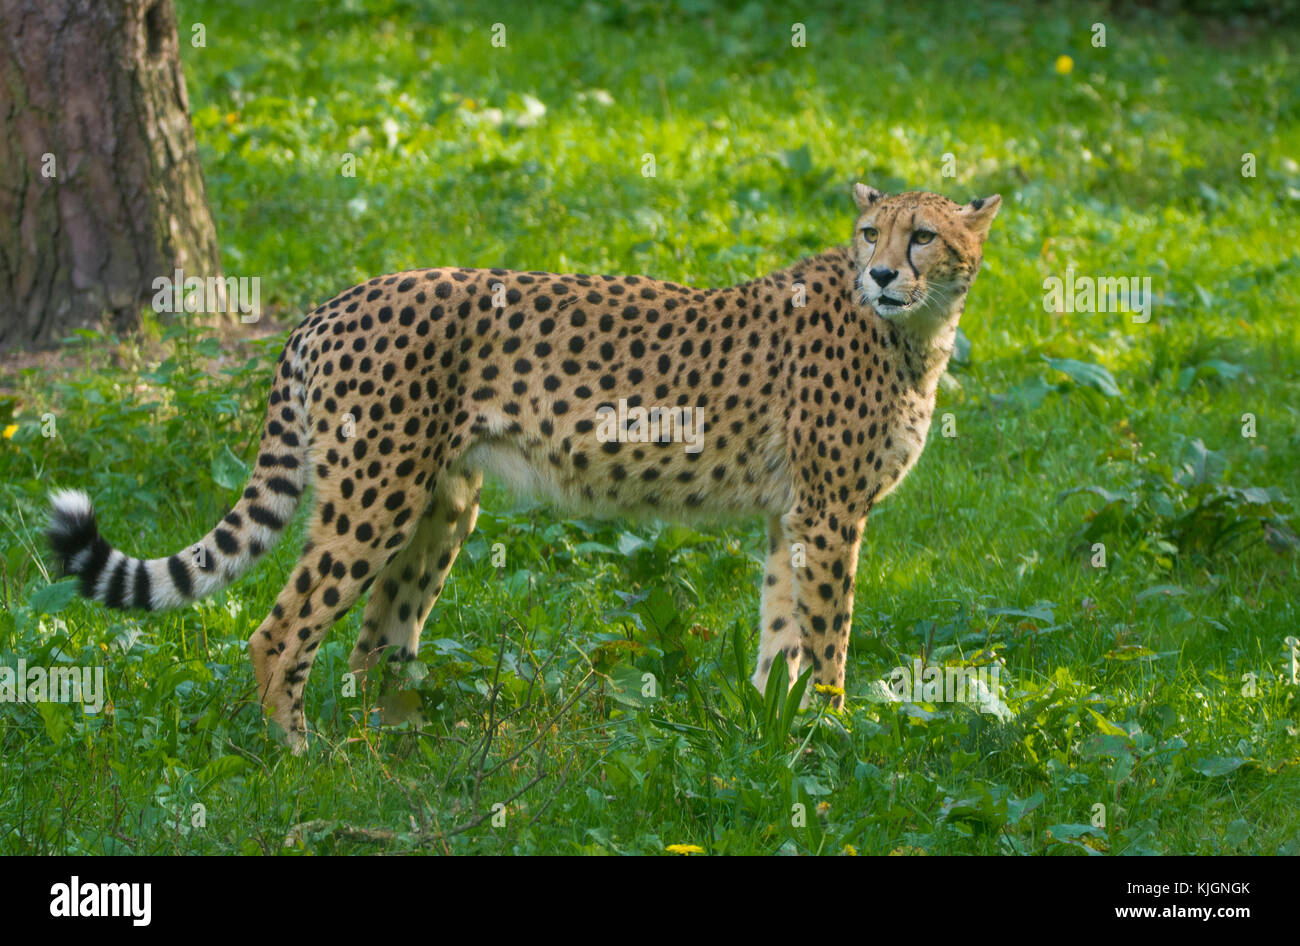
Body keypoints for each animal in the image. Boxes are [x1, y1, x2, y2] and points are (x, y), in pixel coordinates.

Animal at [47, 183, 1000, 750]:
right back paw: (301, 757)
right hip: (373, 498)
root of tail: (336, 299)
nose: (882, 274)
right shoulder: (831, 515)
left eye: (923, 236)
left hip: (439, 504)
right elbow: (830, 633)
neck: (916, 330)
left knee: (377, 639)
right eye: (870, 234)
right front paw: (836, 738)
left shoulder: (788, 516)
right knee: (281, 631)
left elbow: (780, 635)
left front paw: (772, 730)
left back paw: (395, 755)